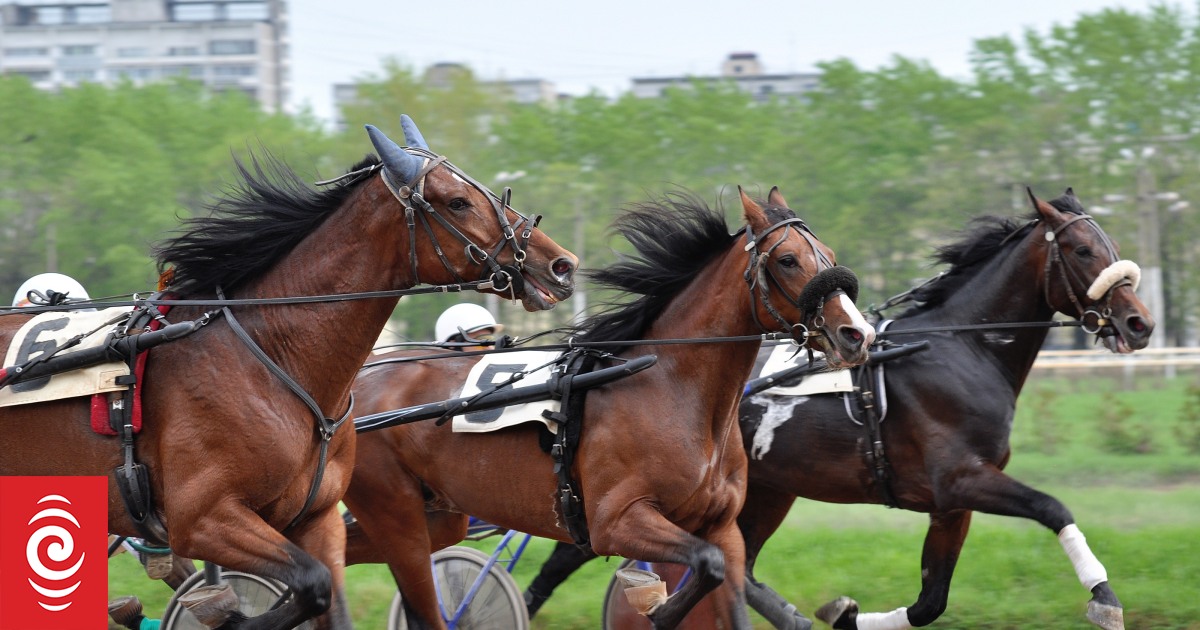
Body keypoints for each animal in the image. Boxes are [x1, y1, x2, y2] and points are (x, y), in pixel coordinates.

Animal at [0, 115, 577, 629]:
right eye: (458, 201)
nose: (561, 264)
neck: (274, 359)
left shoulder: (317, 520)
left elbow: (326, 597)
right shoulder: (203, 518)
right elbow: (308, 584)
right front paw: (223, 612)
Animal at [342, 187, 875, 629]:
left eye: (828, 255)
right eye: (787, 259)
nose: (858, 334)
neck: (670, 390)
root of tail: (355, 384)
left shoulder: (722, 526)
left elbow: (725, 576)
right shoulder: (615, 521)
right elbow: (706, 565)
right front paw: (655, 606)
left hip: (436, 514)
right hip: (397, 513)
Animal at [523, 188, 1154, 630]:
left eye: (1112, 247)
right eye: (1081, 249)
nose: (1139, 322)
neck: (959, 348)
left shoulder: (950, 504)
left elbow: (930, 601)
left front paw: (846, 614)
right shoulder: (961, 478)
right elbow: (1052, 506)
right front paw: (1104, 598)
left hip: (765, 492)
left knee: (743, 569)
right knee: (569, 555)